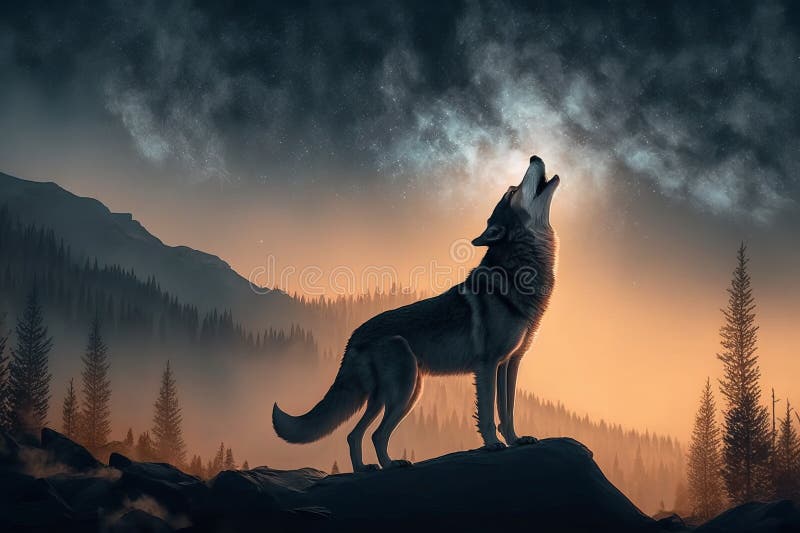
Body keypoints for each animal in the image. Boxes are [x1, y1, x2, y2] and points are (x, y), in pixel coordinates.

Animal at [273, 155, 560, 471]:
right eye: (512, 190)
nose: (534, 157)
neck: (519, 271)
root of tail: (354, 336)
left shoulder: (511, 363)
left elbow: (507, 412)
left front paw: (516, 440)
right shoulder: (487, 364)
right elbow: (487, 414)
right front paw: (493, 444)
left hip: (399, 395)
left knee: (356, 434)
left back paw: (369, 468)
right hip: (403, 393)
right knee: (372, 434)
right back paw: (388, 465)